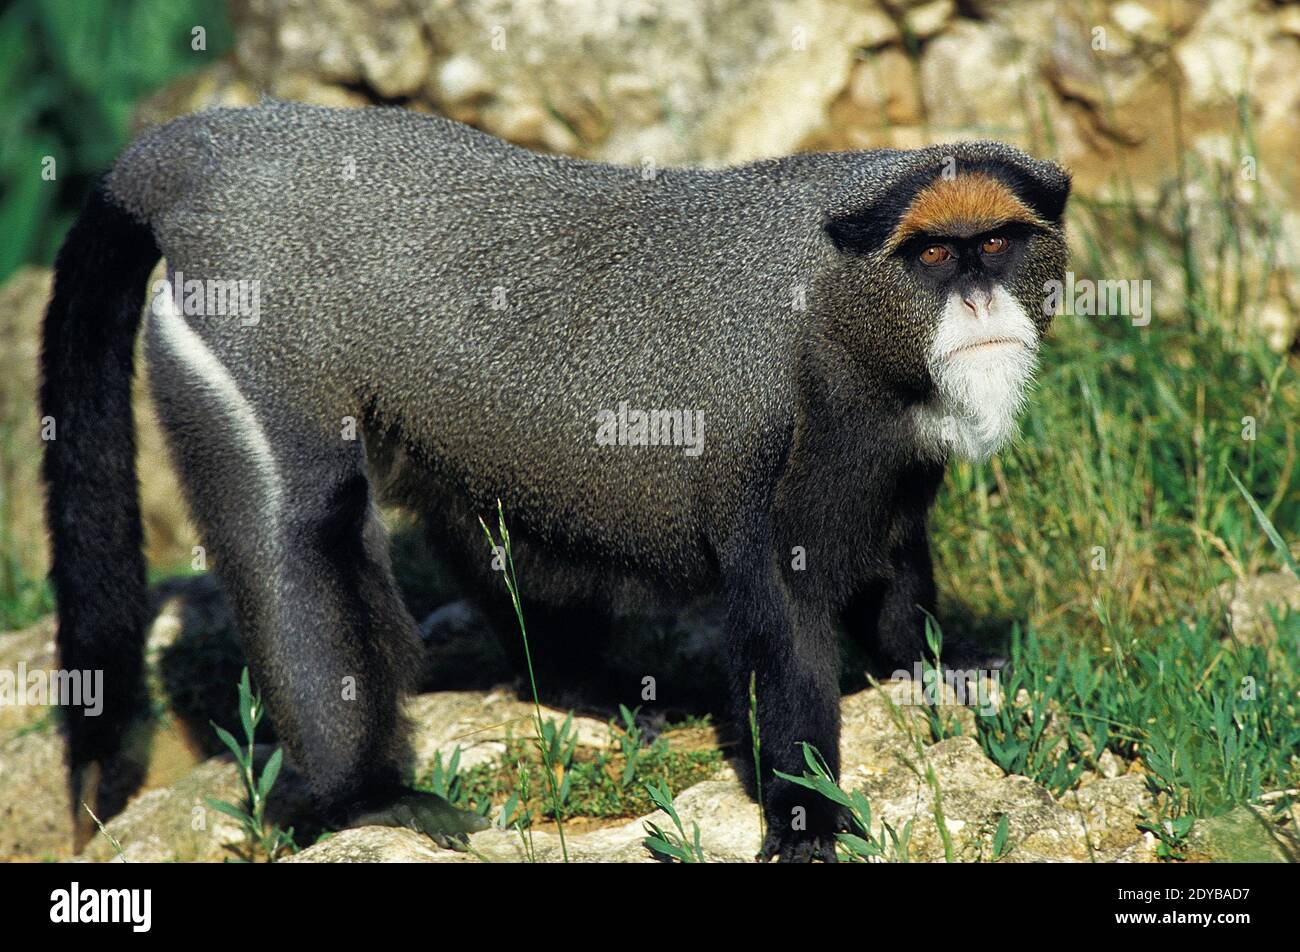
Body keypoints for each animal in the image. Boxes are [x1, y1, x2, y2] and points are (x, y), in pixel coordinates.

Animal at [40, 99, 1070, 862]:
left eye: (996, 244)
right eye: (933, 255)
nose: (981, 298)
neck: (841, 310)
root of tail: (206, 148)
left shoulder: (890, 473)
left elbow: (894, 576)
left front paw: (938, 670)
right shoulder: (763, 450)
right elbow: (784, 627)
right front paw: (807, 816)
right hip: (246, 359)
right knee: (306, 535)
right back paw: (354, 799)